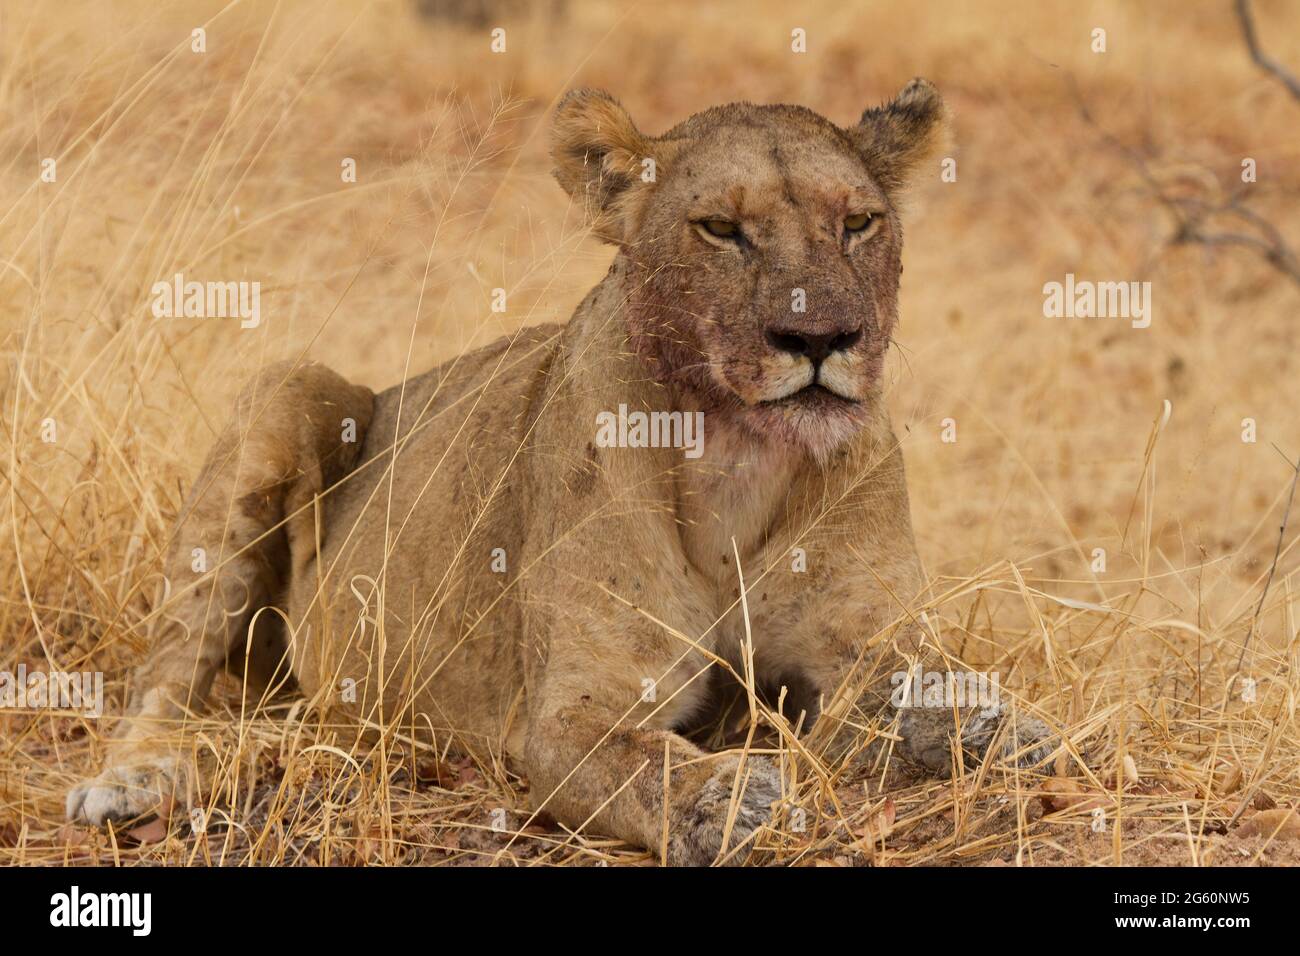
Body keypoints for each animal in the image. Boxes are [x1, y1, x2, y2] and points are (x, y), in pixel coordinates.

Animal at [67, 80, 1053, 865]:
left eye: (857, 223)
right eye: (721, 230)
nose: (822, 340)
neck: (740, 460)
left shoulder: (868, 645)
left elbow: (939, 692)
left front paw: (1004, 730)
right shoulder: (568, 711)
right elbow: (646, 762)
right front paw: (733, 797)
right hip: (288, 389)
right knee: (167, 673)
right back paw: (132, 781)